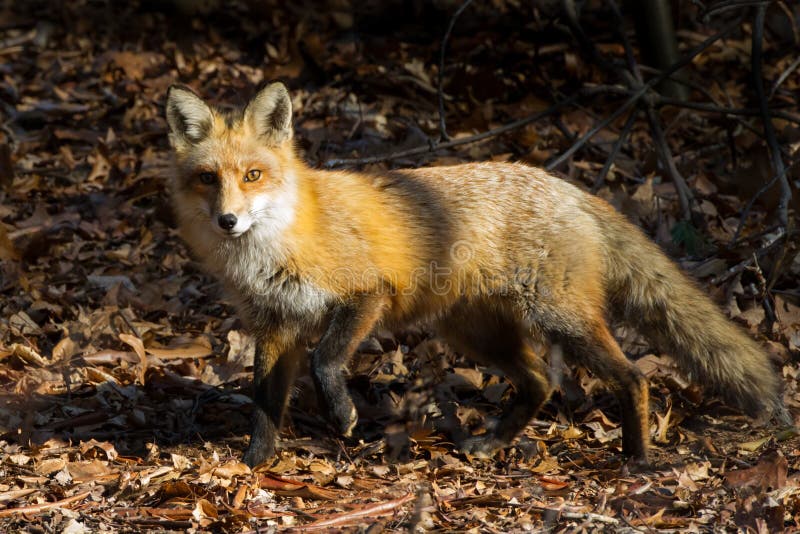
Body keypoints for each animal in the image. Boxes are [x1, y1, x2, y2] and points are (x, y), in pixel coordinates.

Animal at [165, 81, 788, 468]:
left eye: (252, 175)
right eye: (207, 179)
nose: (227, 220)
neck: (276, 245)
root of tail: (565, 185)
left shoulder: (366, 293)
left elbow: (325, 360)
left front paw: (342, 416)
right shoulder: (275, 324)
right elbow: (265, 400)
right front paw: (255, 463)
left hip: (560, 319)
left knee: (633, 378)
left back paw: (635, 460)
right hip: (475, 333)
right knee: (540, 381)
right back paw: (496, 443)